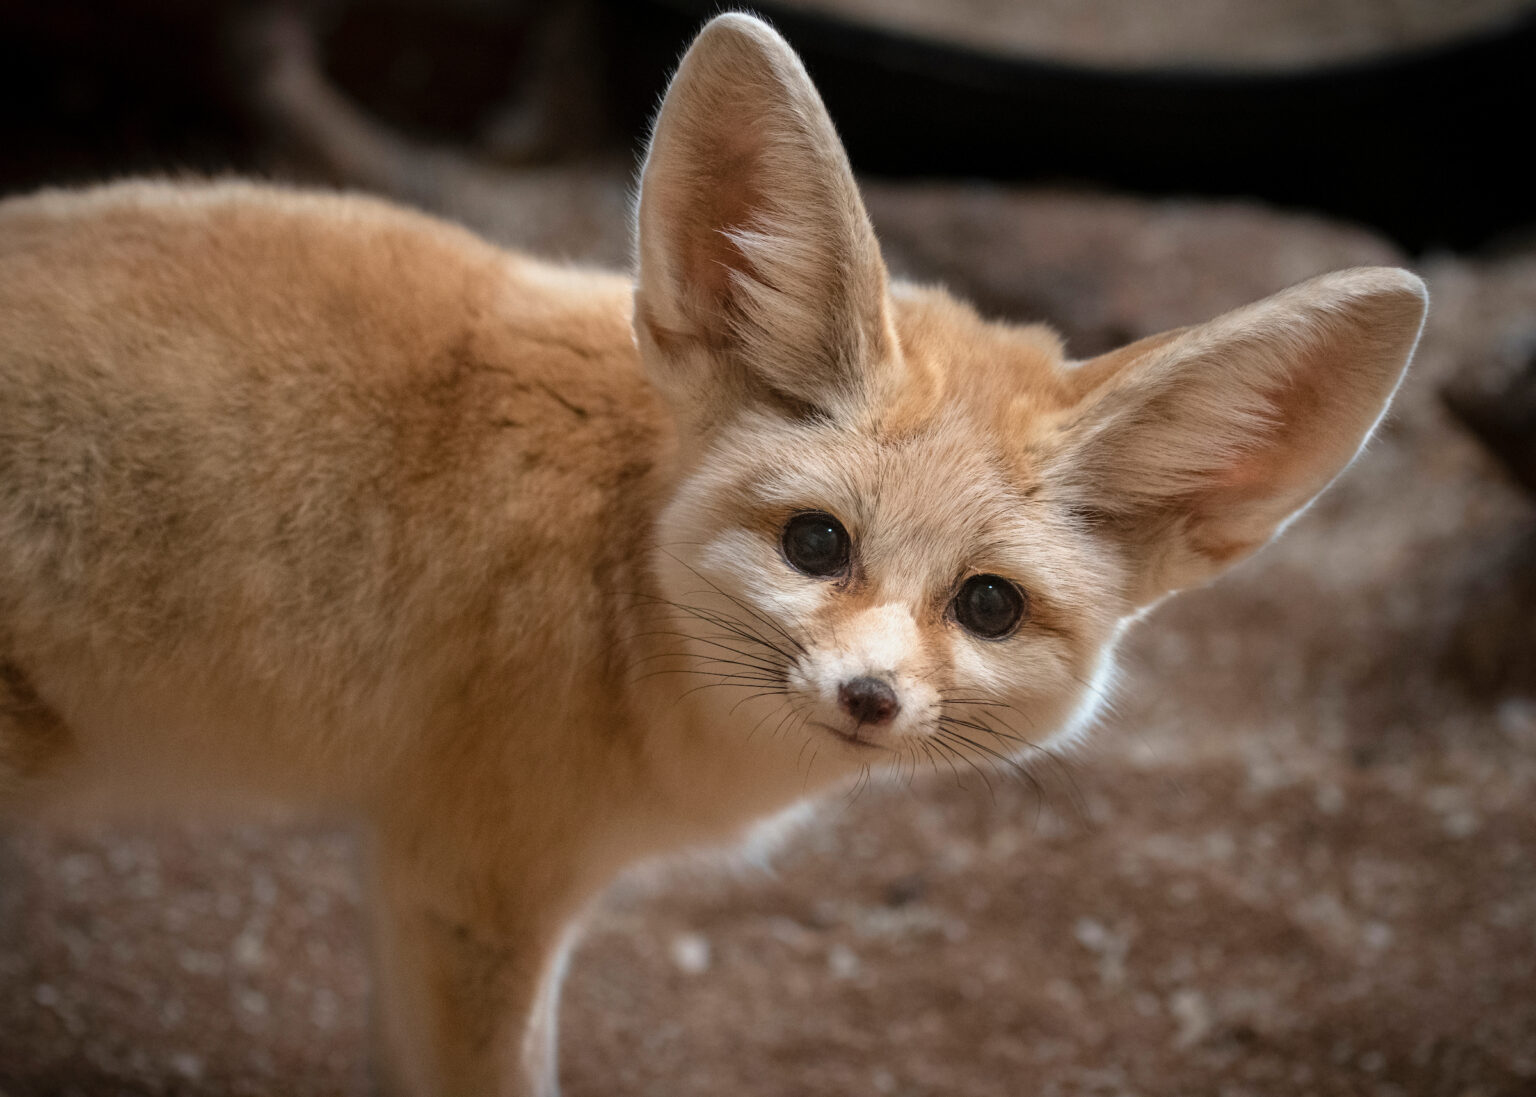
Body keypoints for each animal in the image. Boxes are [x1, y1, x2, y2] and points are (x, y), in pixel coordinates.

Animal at [0, 12, 1427, 1097]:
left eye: (989, 605)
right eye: (816, 542)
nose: (868, 695)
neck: (615, 572)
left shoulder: (423, 876)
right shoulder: (464, 887)